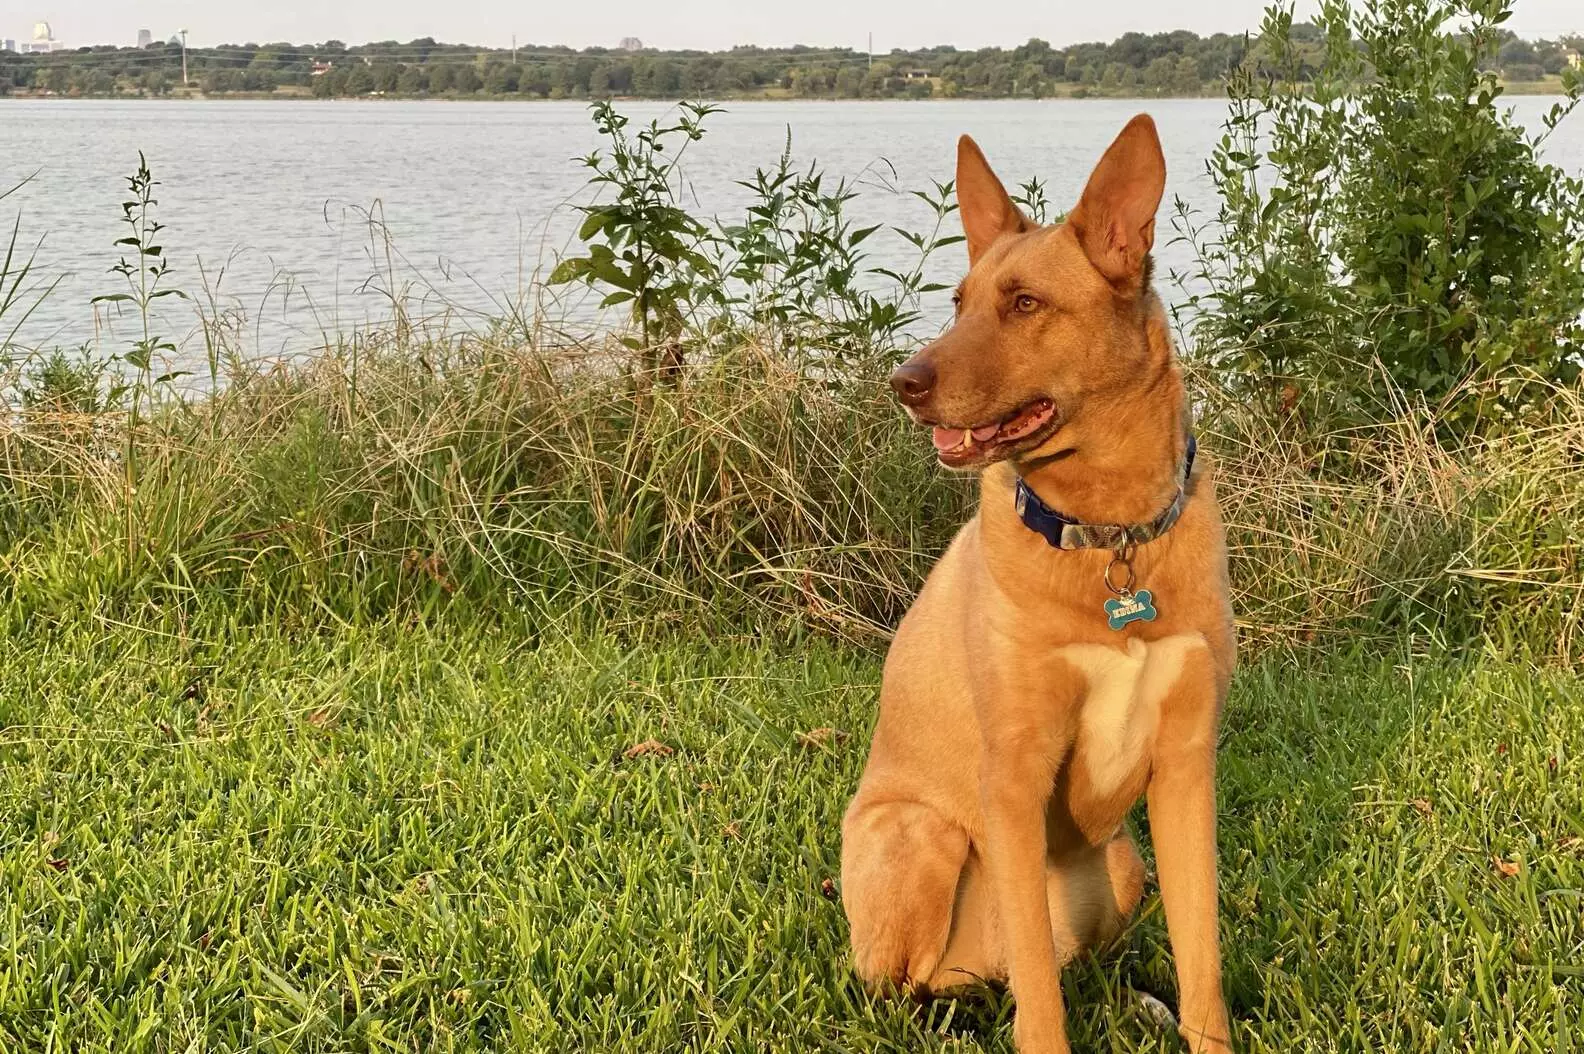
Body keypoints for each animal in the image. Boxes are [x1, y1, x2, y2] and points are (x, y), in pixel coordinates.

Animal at [842, 114, 1235, 1052]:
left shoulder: (1186, 768)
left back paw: (1135, 1001)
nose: (903, 383)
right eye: (957, 303)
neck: (1110, 541)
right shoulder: (1014, 779)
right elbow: (1042, 1006)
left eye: (1024, 303)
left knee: (1056, 964)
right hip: (921, 837)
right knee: (922, 987)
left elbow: (1203, 962)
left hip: (1124, 862)